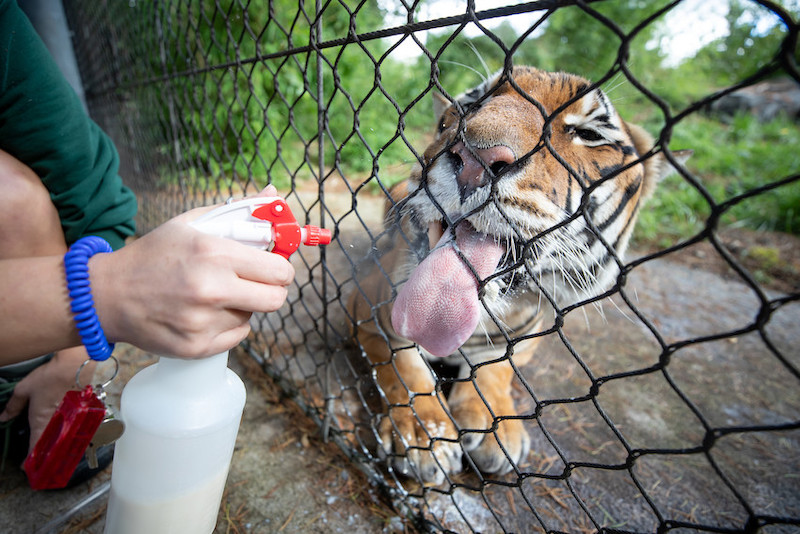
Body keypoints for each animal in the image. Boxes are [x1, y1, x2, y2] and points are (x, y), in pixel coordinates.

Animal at [347, 66, 690, 485]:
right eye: (471, 103)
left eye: (589, 134)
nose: (475, 158)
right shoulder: (369, 310)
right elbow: (405, 369)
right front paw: (424, 433)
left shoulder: (522, 340)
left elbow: (496, 371)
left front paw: (498, 431)